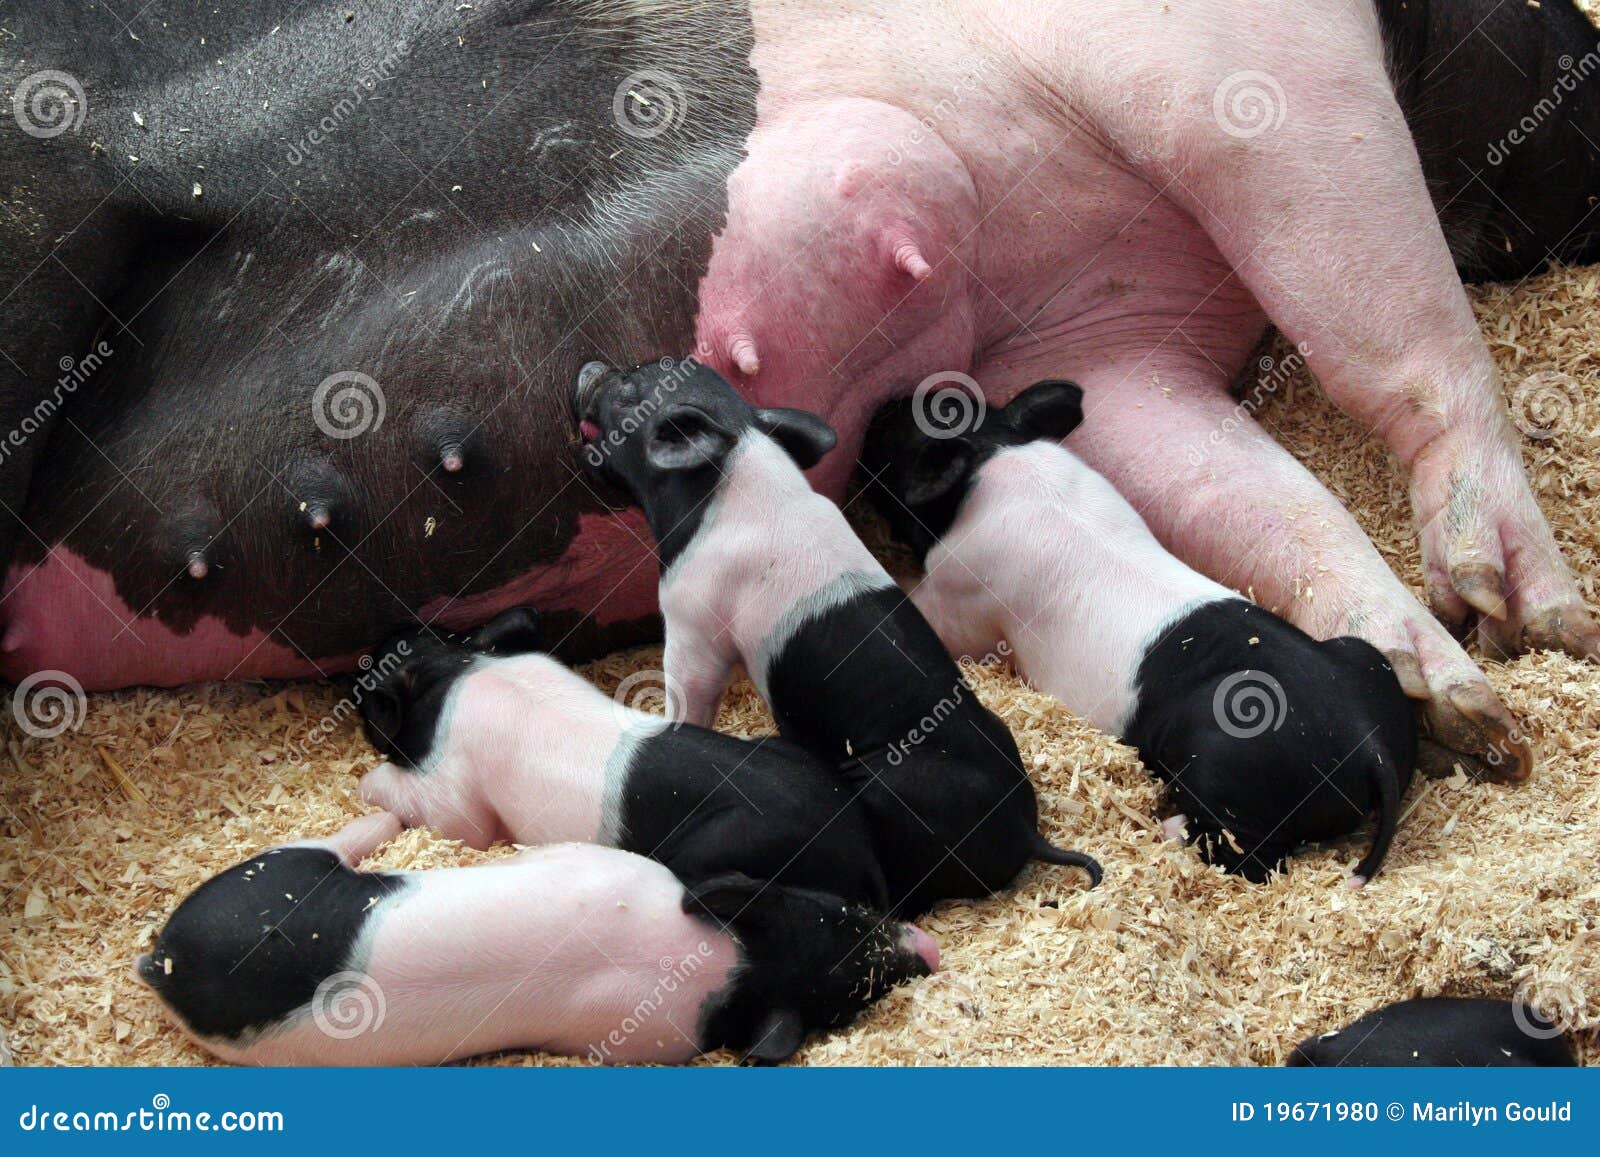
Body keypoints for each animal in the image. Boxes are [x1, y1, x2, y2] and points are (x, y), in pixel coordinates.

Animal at [136, 812, 939, 1066]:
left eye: (853, 1001)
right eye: (839, 910)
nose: (928, 952)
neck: (724, 963)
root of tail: (161, 961)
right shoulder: (596, 865)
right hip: (276, 868)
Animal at [356, 607, 891, 908]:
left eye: (368, 696)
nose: (381, 636)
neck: (447, 671)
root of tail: (863, 851)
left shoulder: (455, 790)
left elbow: (455, 821)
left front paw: (365, 784)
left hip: (728, 842)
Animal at [575, 358, 1101, 916]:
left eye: (629, 390)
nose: (592, 367)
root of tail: (1028, 834)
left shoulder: (692, 623)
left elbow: (688, 696)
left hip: (885, 785)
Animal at [861, 380, 1418, 884]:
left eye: (891, 438)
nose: (883, 403)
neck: (991, 451)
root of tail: (1370, 747)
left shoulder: (961, 594)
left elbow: (933, 614)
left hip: (1229, 753)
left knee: (1253, 857)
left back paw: (1167, 828)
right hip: (1365, 657)